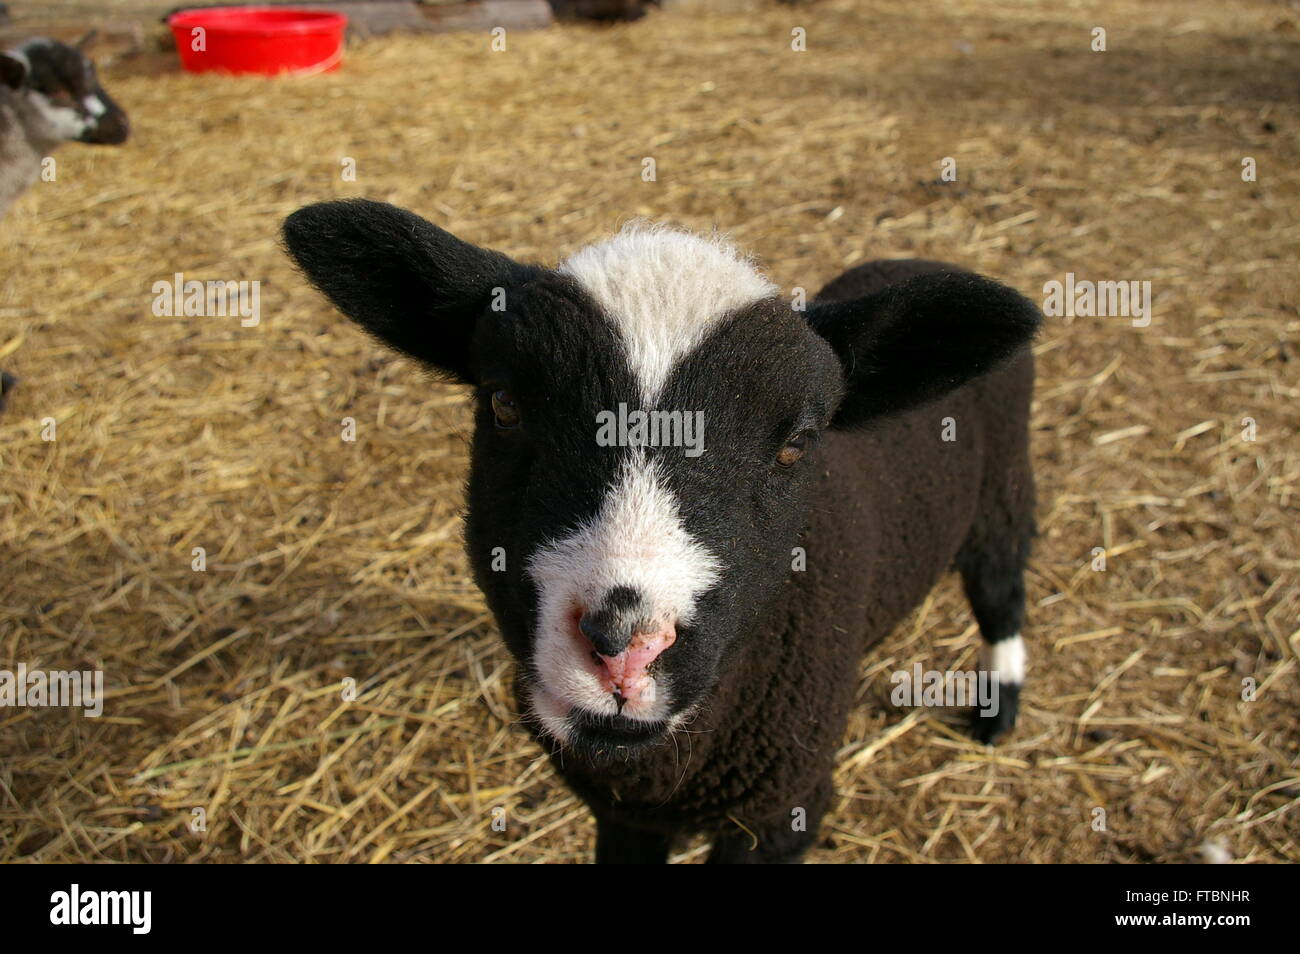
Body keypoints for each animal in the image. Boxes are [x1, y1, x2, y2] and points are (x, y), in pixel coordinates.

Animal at [282, 199, 1041, 863]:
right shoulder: (623, 815)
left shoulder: (782, 813)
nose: (624, 647)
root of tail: (917, 256)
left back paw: (998, 708)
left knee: (1000, 586)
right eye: (503, 404)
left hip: (1002, 487)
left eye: (796, 443)